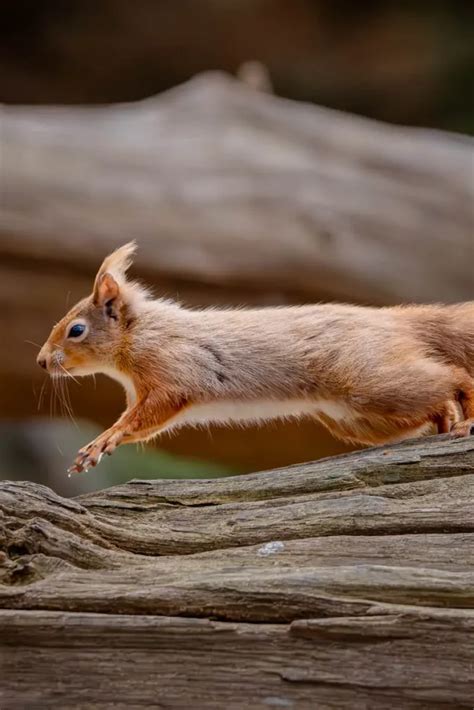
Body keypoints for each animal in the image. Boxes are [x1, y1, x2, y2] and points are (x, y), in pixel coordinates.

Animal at [36, 242, 474, 474]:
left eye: (76, 330)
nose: (42, 361)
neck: (138, 337)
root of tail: (397, 320)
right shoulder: (143, 392)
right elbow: (144, 424)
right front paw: (102, 444)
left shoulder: (175, 370)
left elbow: (144, 416)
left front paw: (102, 441)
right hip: (362, 419)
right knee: (436, 401)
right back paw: (446, 424)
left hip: (369, 383)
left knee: (455, 377)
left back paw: (466, 420)